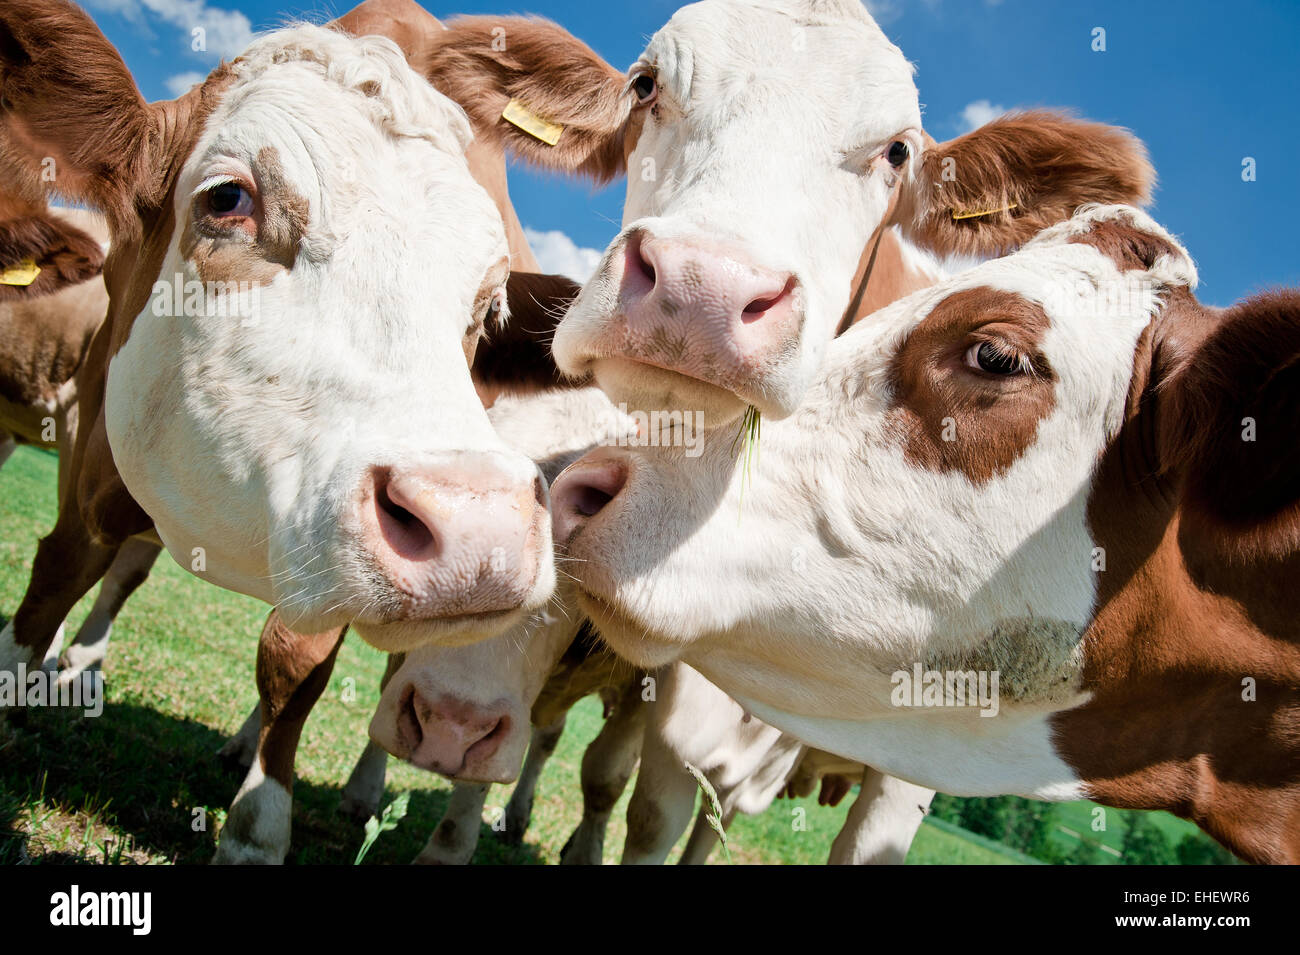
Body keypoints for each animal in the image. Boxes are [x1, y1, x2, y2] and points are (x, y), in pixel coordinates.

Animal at [0, 0, 556, 689]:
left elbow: (293, 657)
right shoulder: (86, 448)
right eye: (227, 197)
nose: (480, 523)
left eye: (492, 299)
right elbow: (51, 581)